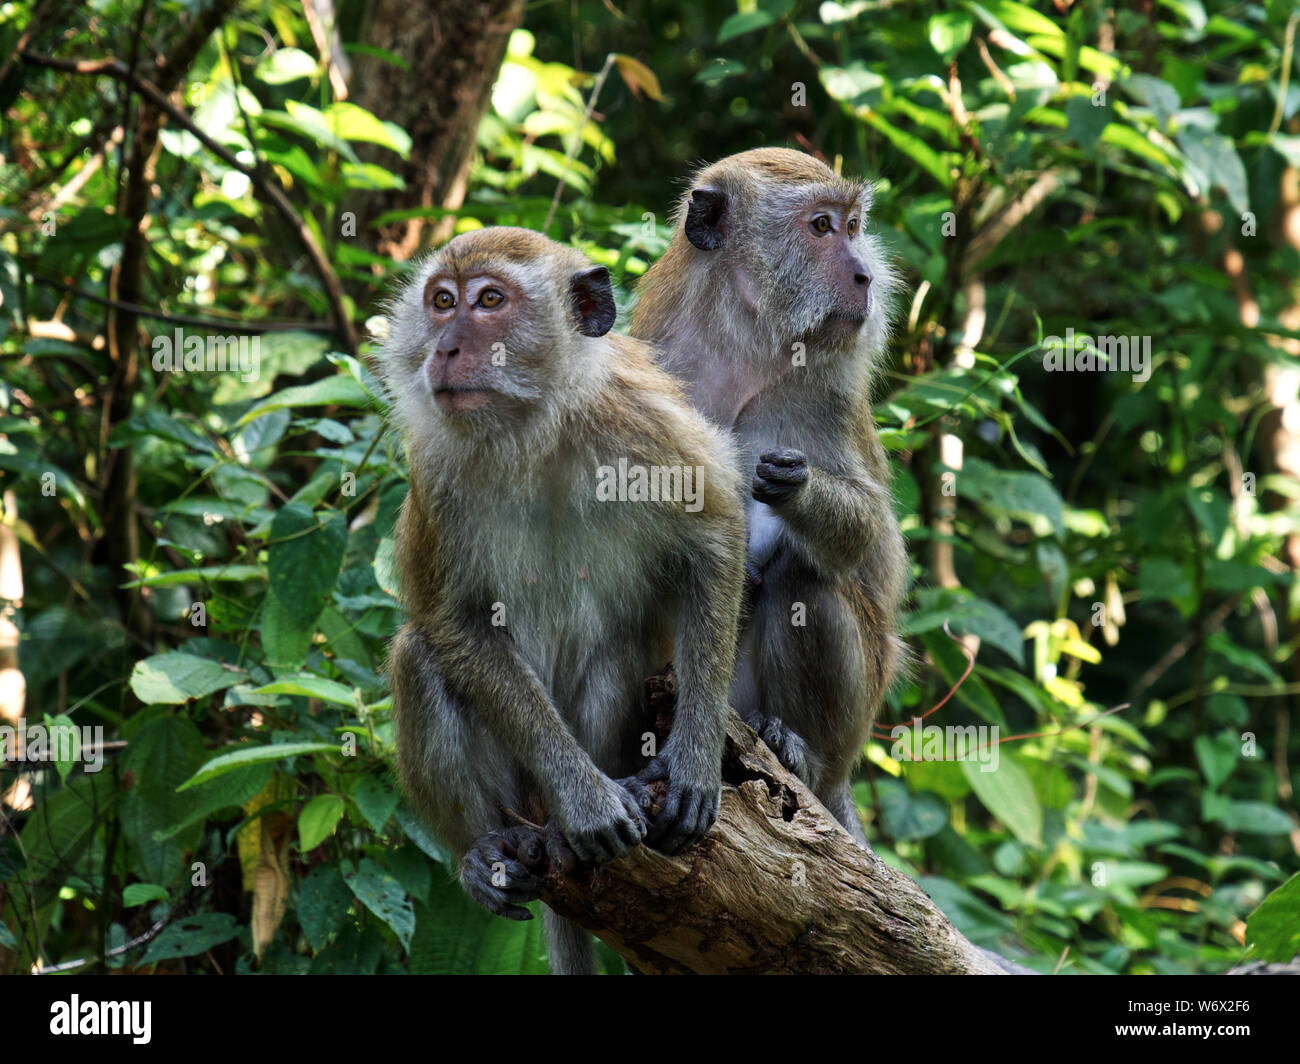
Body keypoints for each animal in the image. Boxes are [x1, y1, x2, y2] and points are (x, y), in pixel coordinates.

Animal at [379, 226, 746, 974]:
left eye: (490, 301)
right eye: (442, 302)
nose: (445, 346)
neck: (535, 428)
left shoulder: (642, 420)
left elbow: (715, 537)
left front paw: (695, 760)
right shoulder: (435, 470)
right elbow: (454, 623)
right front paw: (584, 800)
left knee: (618, 656)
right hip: (519, 796)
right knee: (418, 655)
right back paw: (494, 849)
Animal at [630, 148, 908, 849]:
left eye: (854, 226)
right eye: (821, 227)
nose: (865, 275)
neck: (743, 347)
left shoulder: (828, 391)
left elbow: (868, 533)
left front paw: (797, 487)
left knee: (807, 580)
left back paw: (798, 751)